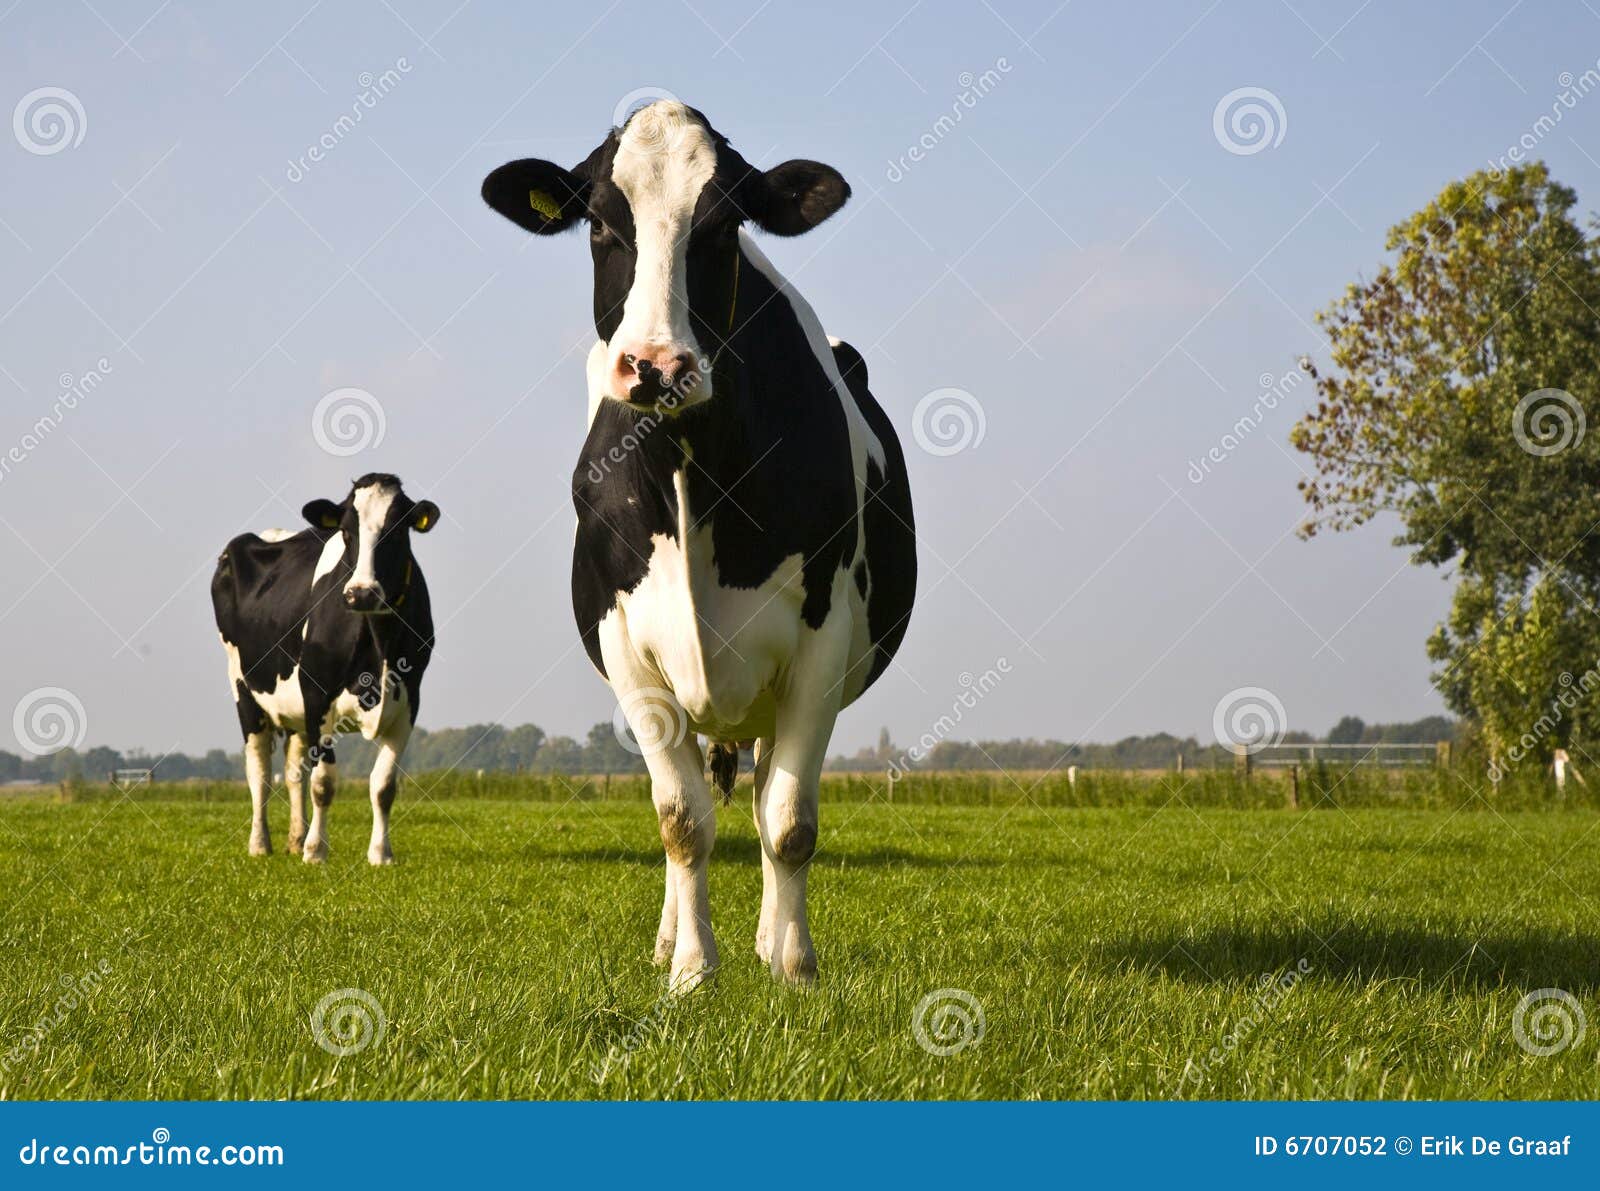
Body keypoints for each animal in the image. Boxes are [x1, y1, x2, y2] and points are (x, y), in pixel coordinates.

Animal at [210, 473, 439, 866]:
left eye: (397, 530)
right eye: (347, 531)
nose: (361, 593)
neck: (377, 640)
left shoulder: (409, 701)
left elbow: (383, 785)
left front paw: (380, 853)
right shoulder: (317, 695)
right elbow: (324, 783)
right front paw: (316, 852)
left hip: (296, 708)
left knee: (292, 771)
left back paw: (295, 838)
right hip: (243, 689)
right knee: (259, 772)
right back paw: (261, 844)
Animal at [482, 100, 916, 987]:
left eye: (724, 226)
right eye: (599, 224)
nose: (655, 364)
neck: (690, 472)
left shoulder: (821, 643)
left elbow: (789, 822)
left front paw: (793, 967)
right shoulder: (627, 647)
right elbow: (681, 820)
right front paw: (689, 970)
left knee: (761, 795)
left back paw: (768, 939)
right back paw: (671, 938)